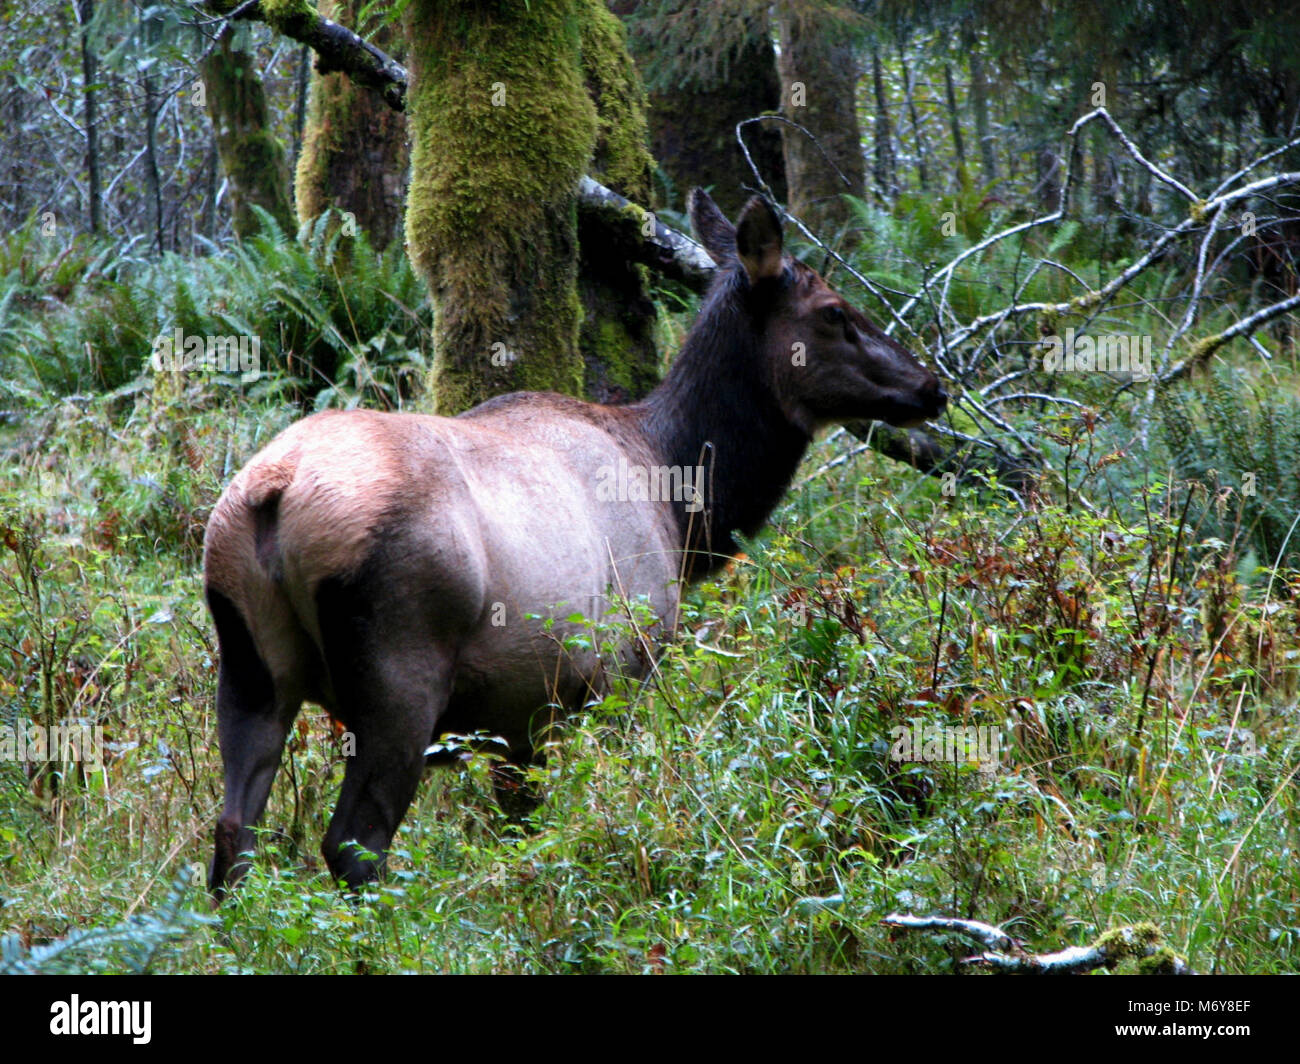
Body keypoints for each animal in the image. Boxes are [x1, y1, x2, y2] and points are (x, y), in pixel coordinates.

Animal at [203, 188, 947, 898]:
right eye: (833, 311)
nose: (930, 385)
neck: (681, 507)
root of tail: (275, 492)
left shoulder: (522, 712)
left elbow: (522, 827)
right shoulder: (625, 664)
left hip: (247, 659)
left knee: (232, 833)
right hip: (399, 668)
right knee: (353, 845)